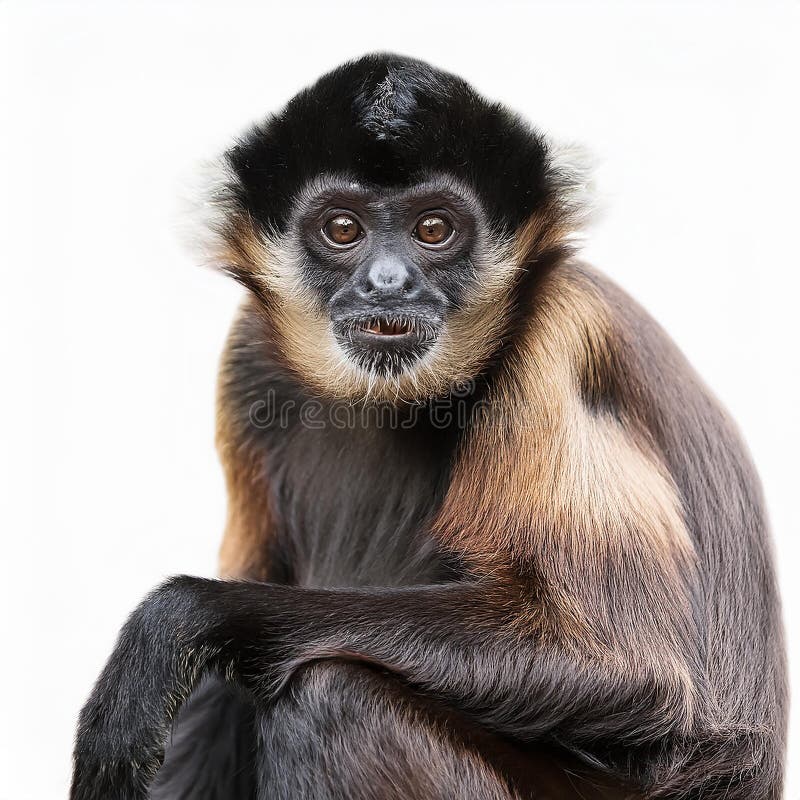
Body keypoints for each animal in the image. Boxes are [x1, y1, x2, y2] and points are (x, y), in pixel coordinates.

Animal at [70, 53, 787, 800]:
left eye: (434, 229)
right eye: (343, 229)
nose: (389, 283)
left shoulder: (558, 336)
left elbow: (633, 670)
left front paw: (179, 617)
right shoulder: (247, 353)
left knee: (331, 696)